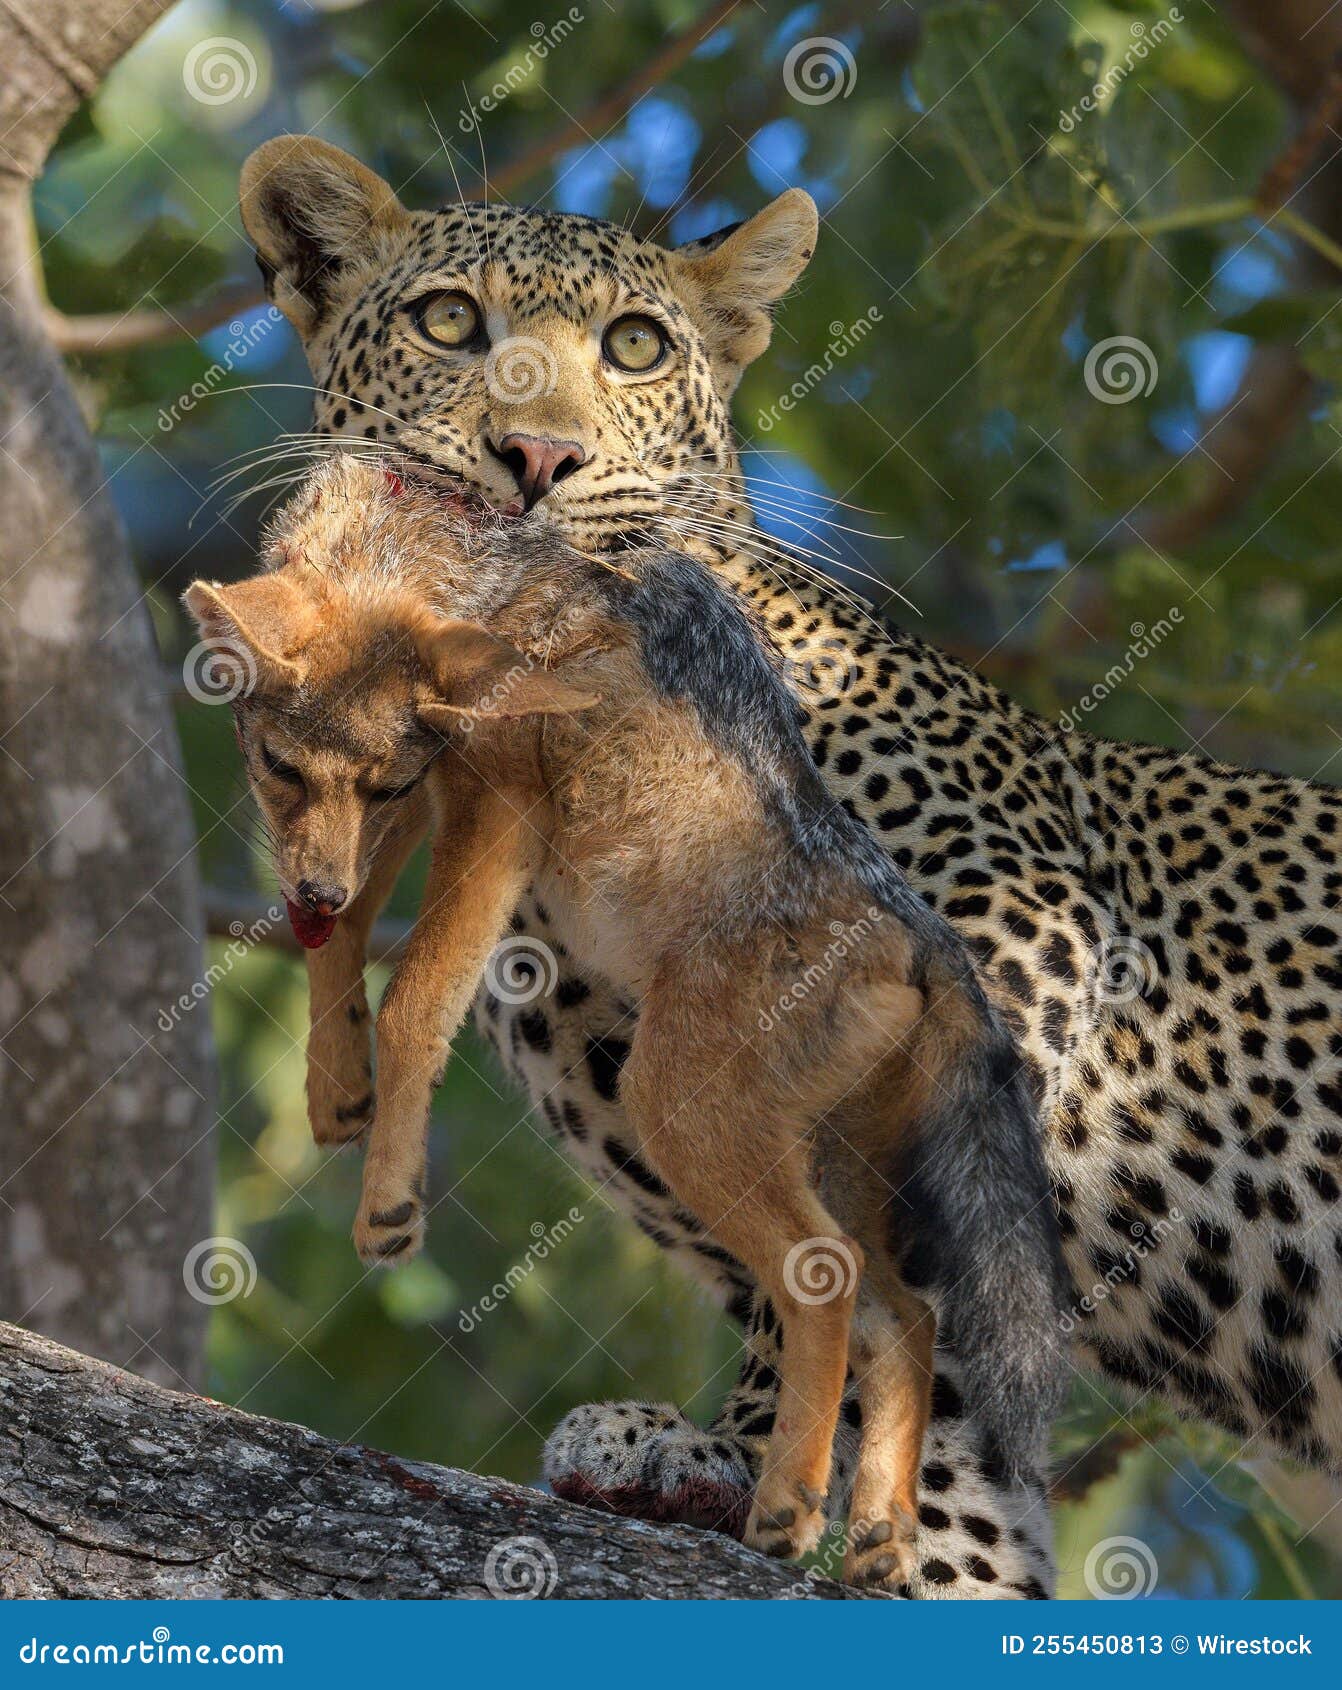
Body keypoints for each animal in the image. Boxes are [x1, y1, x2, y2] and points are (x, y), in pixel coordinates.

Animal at [238, 135, 1342, 1599]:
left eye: (635, 346)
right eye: (448, 321)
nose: (538, 456)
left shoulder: (1011, 923)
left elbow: (861, 1273)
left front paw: (762, 1466)